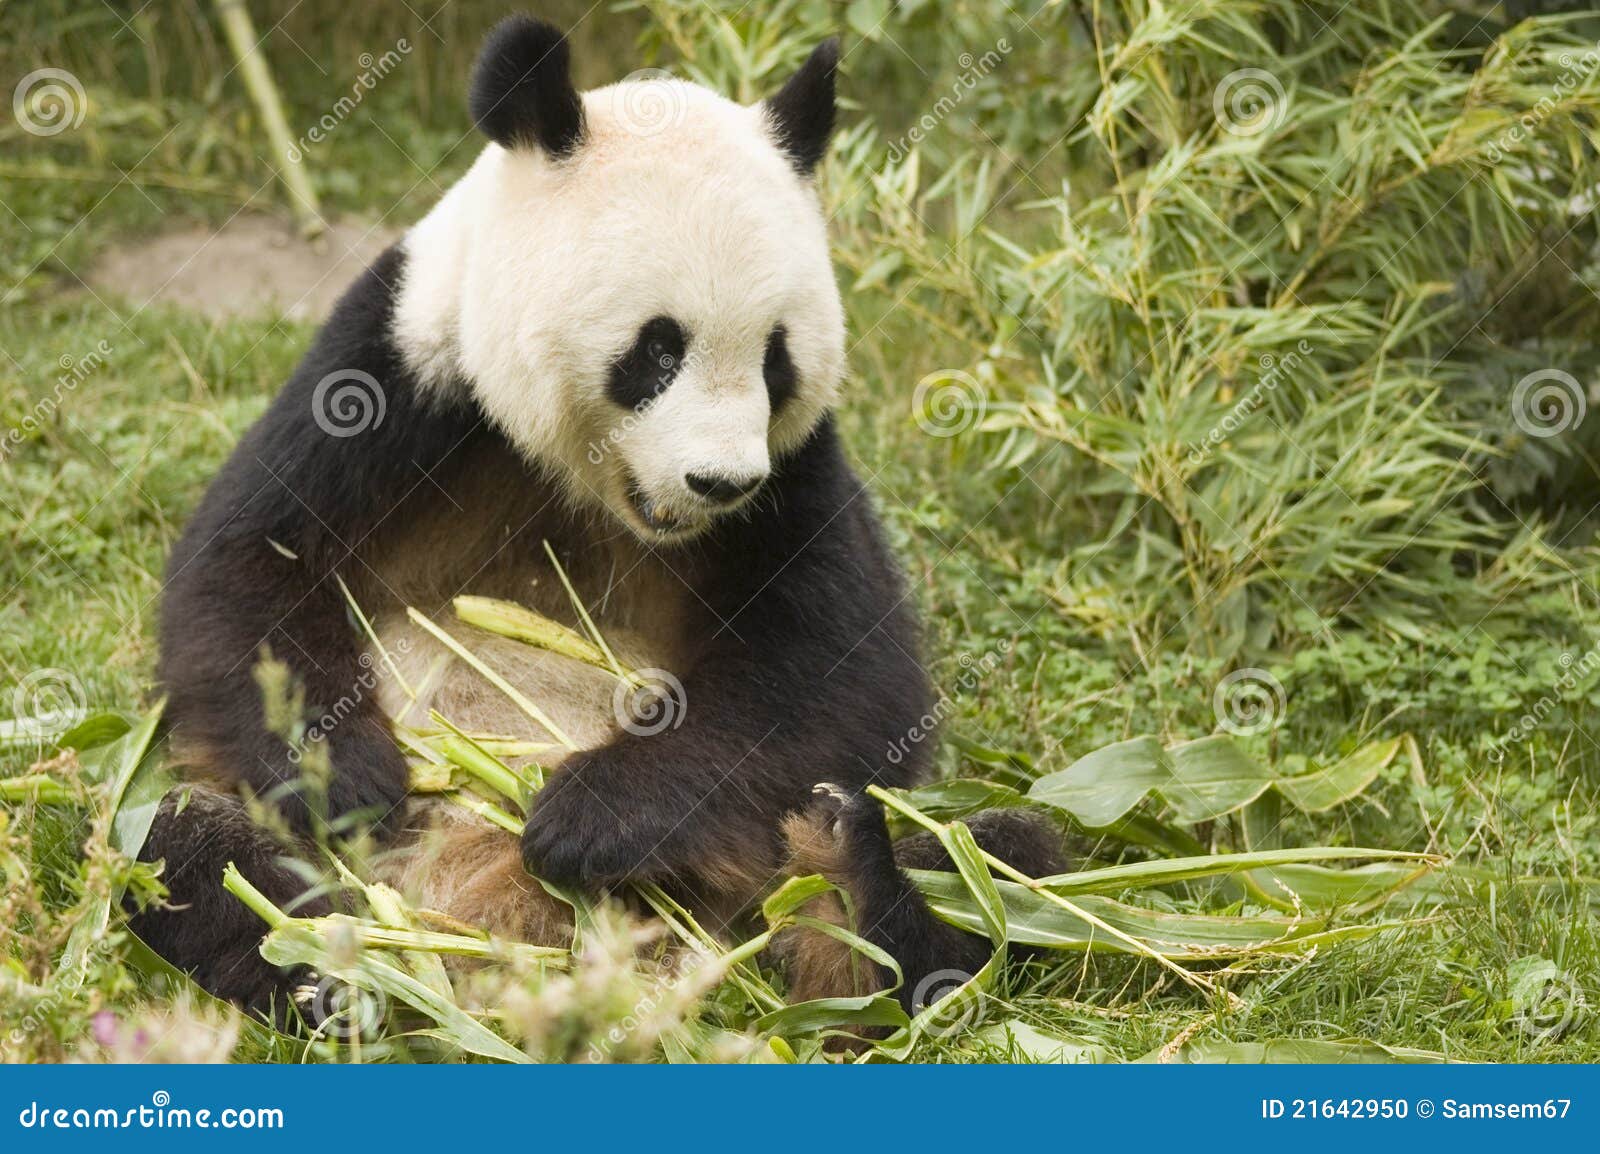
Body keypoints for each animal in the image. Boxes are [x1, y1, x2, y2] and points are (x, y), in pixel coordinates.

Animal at [129, 14, 1065, 1030]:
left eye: (776, 358)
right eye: (657, 350)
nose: (720, 482)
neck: (593, 486)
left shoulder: (796, 476)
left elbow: (840, 670)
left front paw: (591, 817)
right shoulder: (400, 376)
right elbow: (247, 570)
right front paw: (351, 774)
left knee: (993, 859)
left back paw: (855, 894)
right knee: (188, 852)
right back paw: (338, 975)